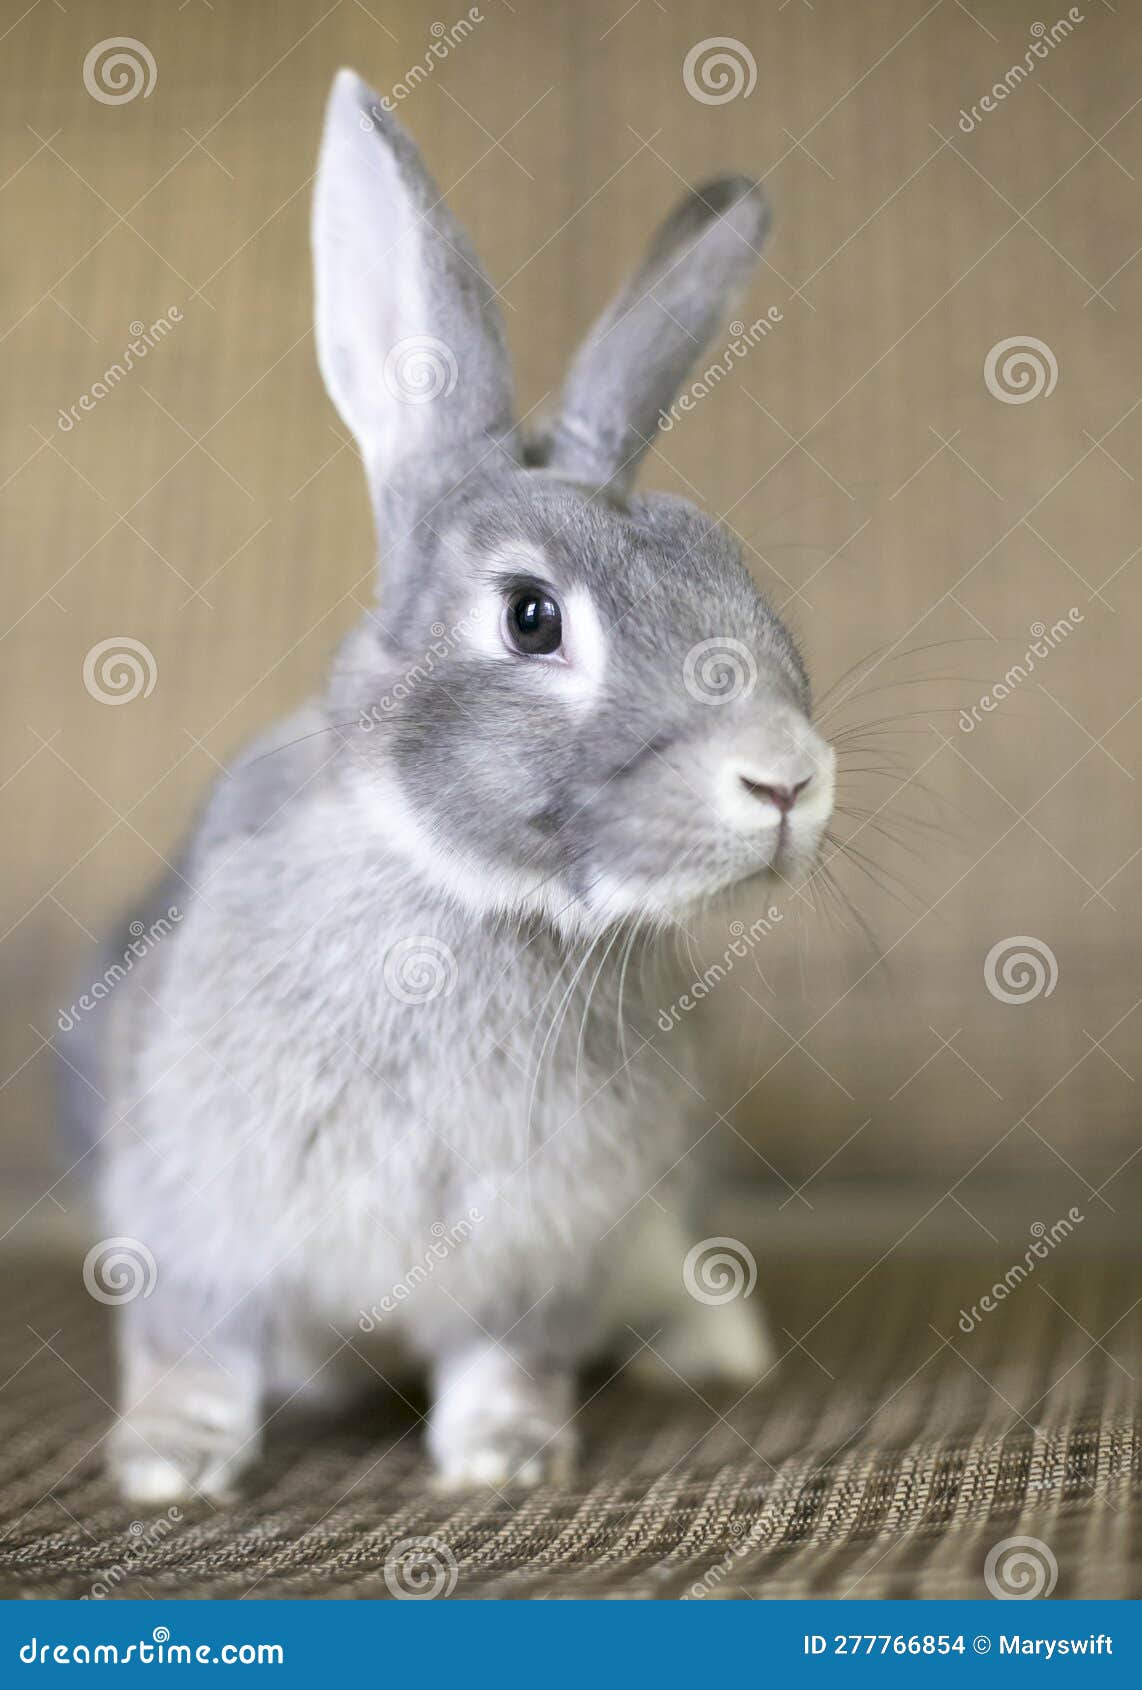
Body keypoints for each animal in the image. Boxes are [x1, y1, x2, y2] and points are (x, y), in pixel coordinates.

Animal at [60, 68, 837, 1503]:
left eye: (736, 574)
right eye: (531, 617)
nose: (786, 781)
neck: (464, 894)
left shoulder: (538, 1251)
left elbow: (507, 1356)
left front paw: (505, 1459)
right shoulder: (189, 1217)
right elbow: (193, 1346)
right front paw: (168, 1464)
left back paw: (713, 1353)